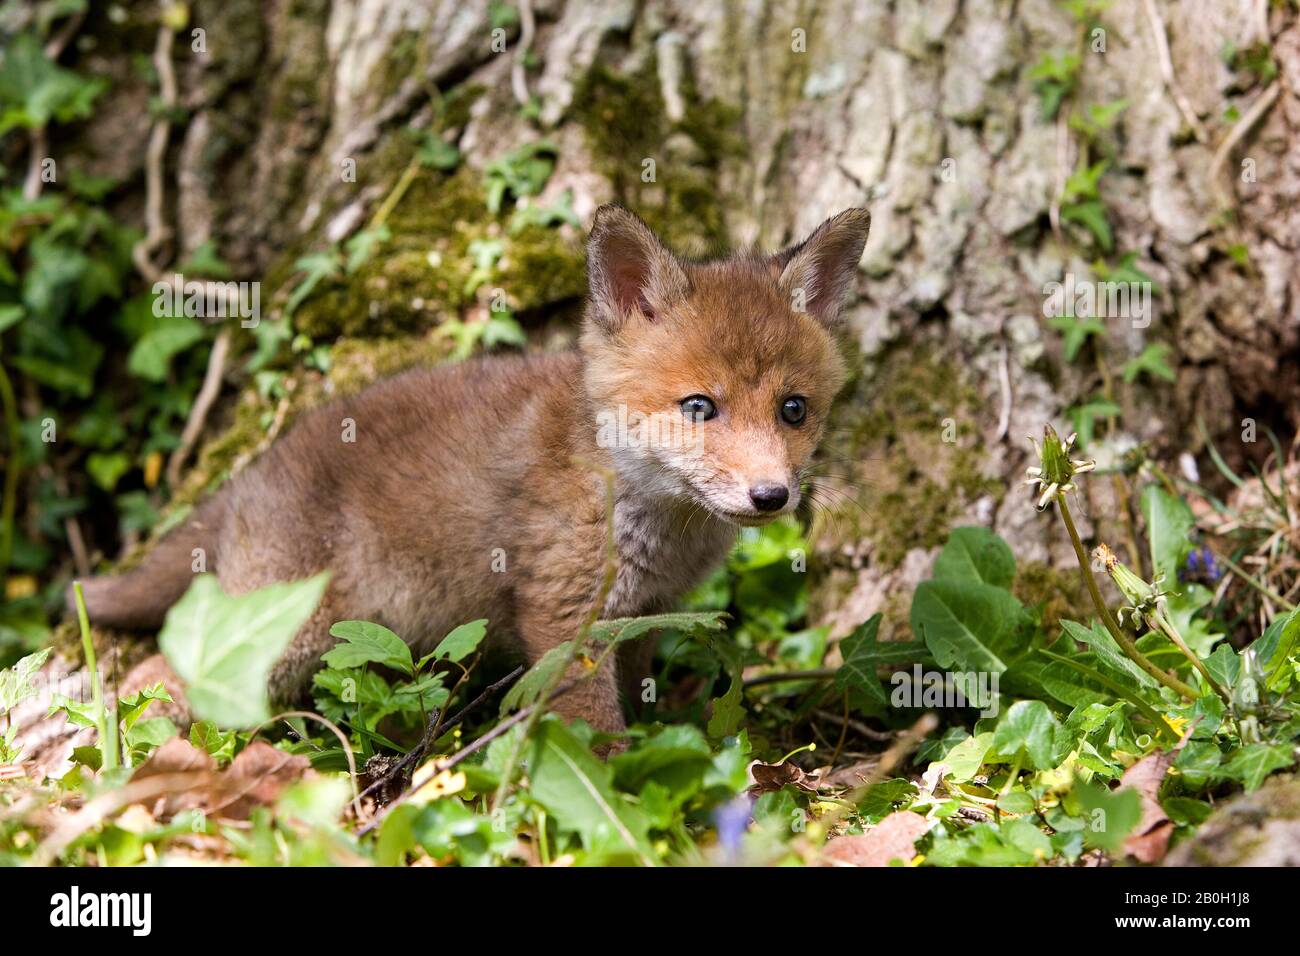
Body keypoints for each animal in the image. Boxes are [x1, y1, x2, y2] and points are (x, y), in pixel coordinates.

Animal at [74, 204, 870, 740]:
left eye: (793, 409)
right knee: (160, 671)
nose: (771, 496)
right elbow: (597, 737)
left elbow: (637, 695)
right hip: (284, 628)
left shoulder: (646, 614)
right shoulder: (564, 618)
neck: (640, 507)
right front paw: (624, 798)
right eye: (700, 407)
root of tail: (249, 472)